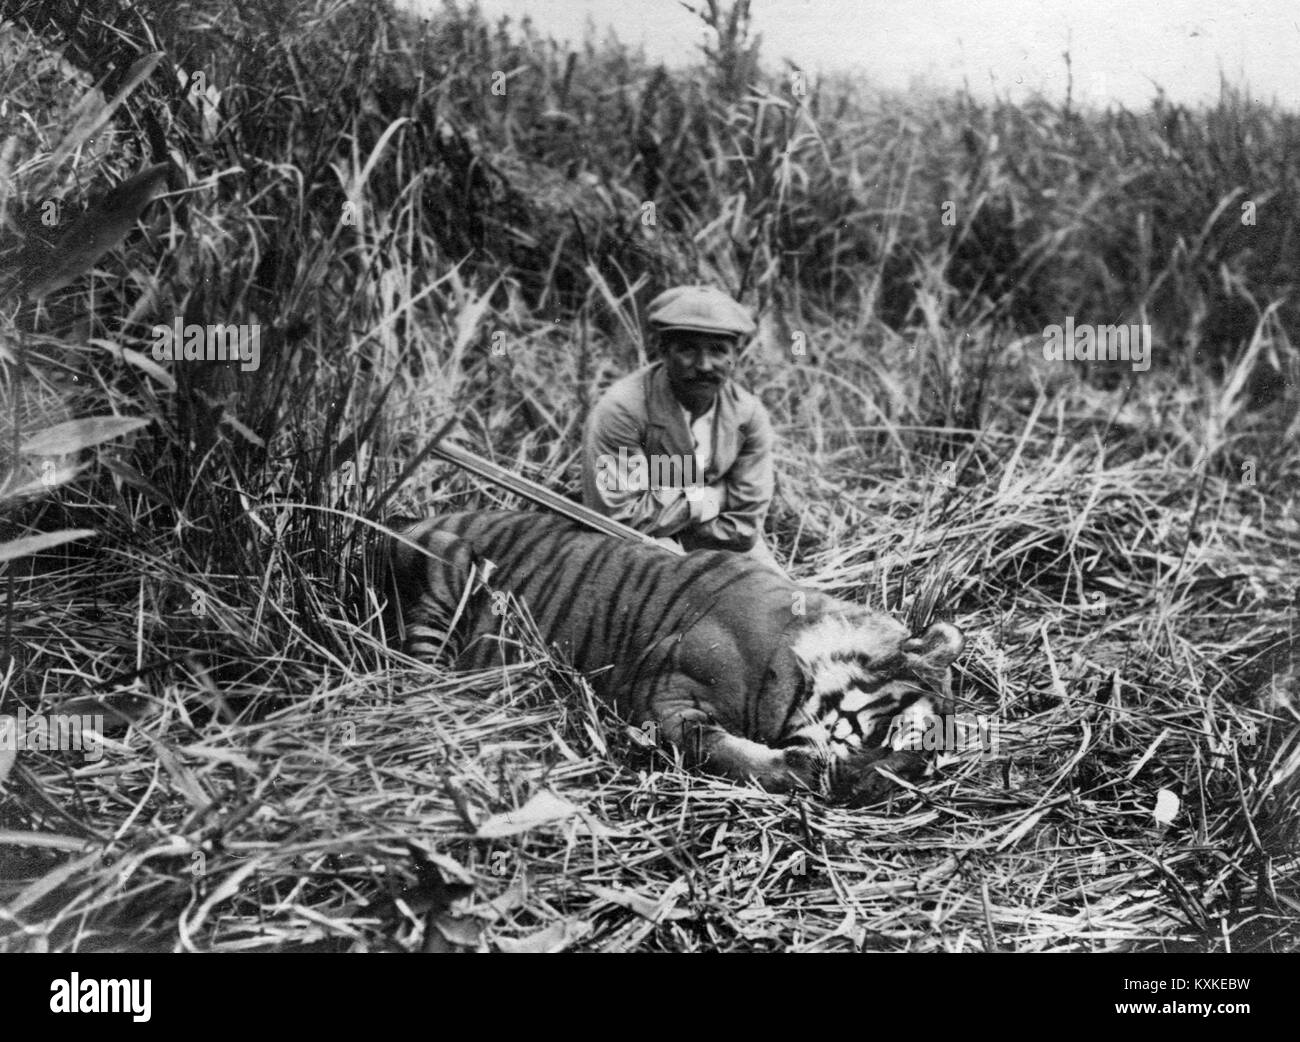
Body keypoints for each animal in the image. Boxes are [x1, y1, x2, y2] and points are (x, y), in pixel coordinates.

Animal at [386, 510, 964, 805]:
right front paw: (794, 769)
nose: (864, 794)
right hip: (445, 580)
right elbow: (722, 749)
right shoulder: (660, 695)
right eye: (895, 737)